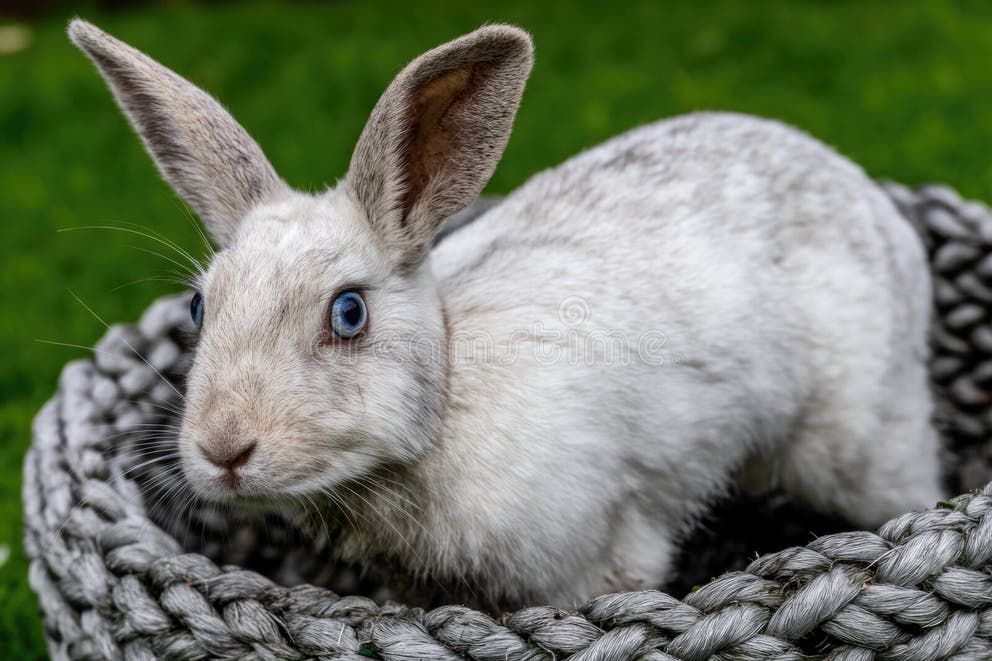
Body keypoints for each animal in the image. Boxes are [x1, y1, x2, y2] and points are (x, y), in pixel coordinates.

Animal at [69, 18, 942, 608]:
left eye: (348, 312)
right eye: (198, 305)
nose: (224, 448)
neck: (445, 402)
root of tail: (876, 207)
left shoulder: (597, 552)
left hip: (862, 442)